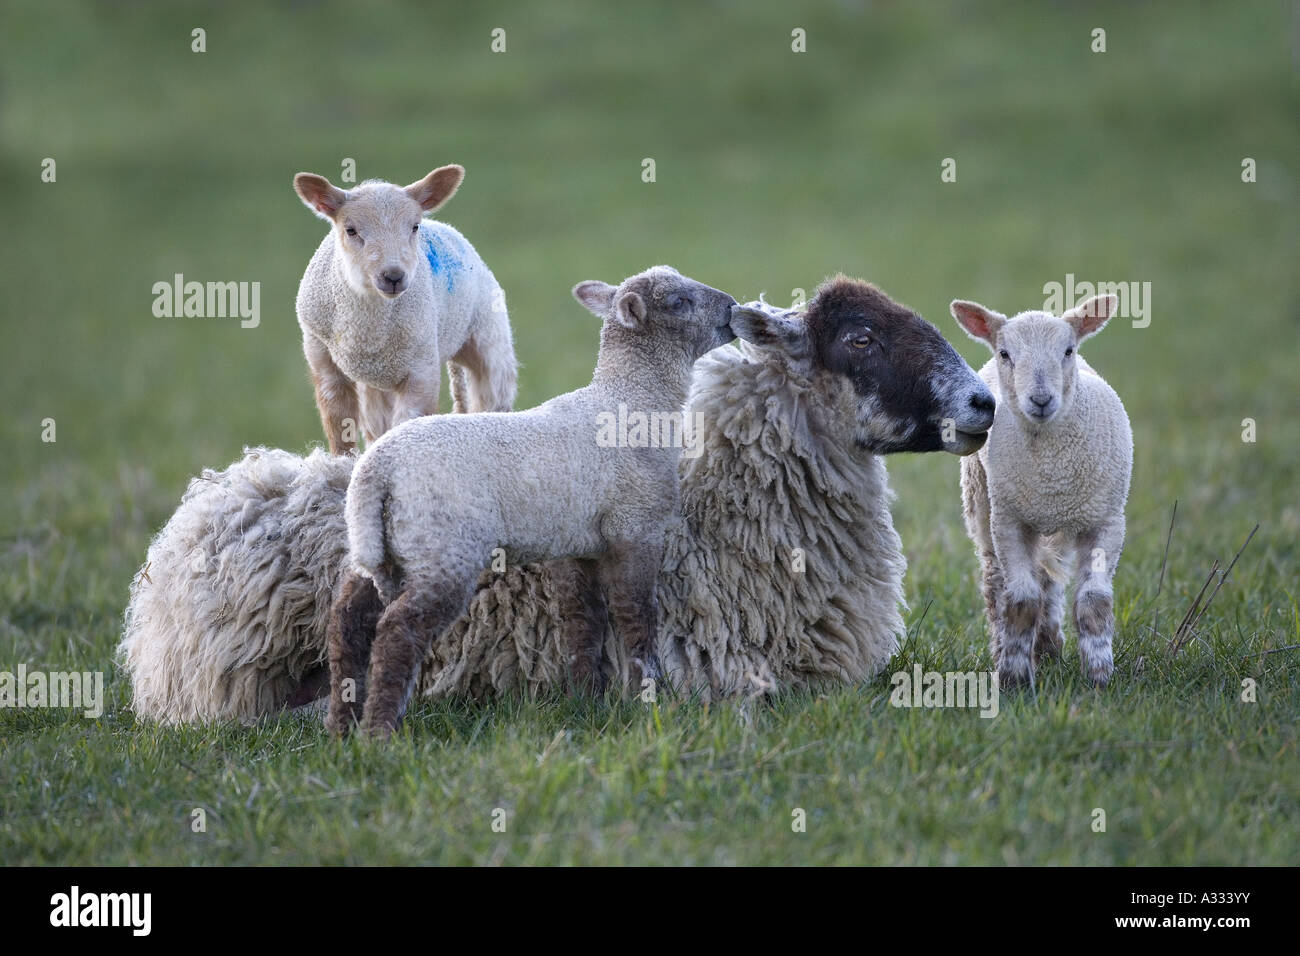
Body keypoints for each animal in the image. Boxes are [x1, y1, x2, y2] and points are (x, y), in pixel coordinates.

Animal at [293, 165, 517, 454]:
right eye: (351, 230)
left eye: (414, 226)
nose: (393, 276)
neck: (367, 330)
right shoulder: (321, 357)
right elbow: (339, 427)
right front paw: (342, 462)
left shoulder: (422, 367)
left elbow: (406, 424)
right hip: (378, 381)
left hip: (488, 339)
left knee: (491, 397)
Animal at [326, 266, 738, 737]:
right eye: (678, 302)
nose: (732, 308)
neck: (629, 401)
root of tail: (376, 469)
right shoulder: (635, 528)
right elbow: (636, 618)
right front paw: (650, 698)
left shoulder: (578, 543)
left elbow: (582, 622)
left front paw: (587, 700)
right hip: (443, 548)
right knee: (398, 630)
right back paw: (379, 732)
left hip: (383, 549)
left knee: (347, 619)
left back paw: (341, 725)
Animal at [950, 293, 1132, 688]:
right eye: (1005, 353)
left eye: (1068, 350)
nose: (1041, 399)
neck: (1052, 471)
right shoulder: (1010, 523)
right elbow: (1021, 602)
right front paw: (1015, 678)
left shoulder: (1107, 521)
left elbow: (1094, 601)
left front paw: (1100, 677)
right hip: (982, 500)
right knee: (996, 583)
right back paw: (1005, 648)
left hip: (1060, 524)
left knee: (1049, 580)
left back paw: (1049, 648)